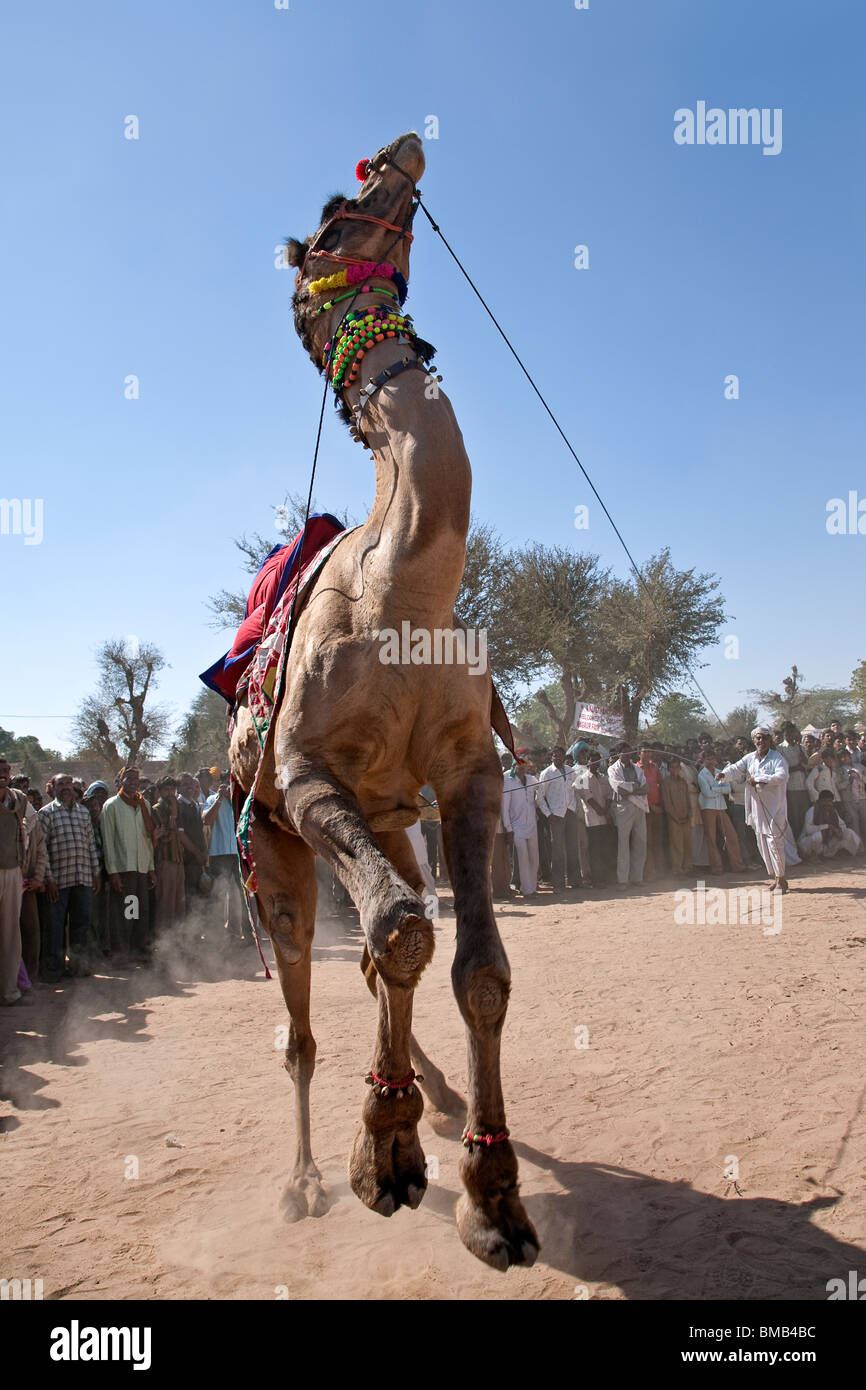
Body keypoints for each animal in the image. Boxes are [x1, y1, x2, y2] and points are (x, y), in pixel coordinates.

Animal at [230, 132, 539, 1271]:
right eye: (326, 225)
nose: (397, 156)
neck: (400, 588)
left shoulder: (467, 771)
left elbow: (477, 964)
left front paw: (493, 1202)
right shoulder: (307, 775)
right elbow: (402, 936)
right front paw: (384, 1162)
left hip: (396, 822)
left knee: (384, 944)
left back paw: (434, 1103)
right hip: (272, 844)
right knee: (307, 1010)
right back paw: (308, 1180)